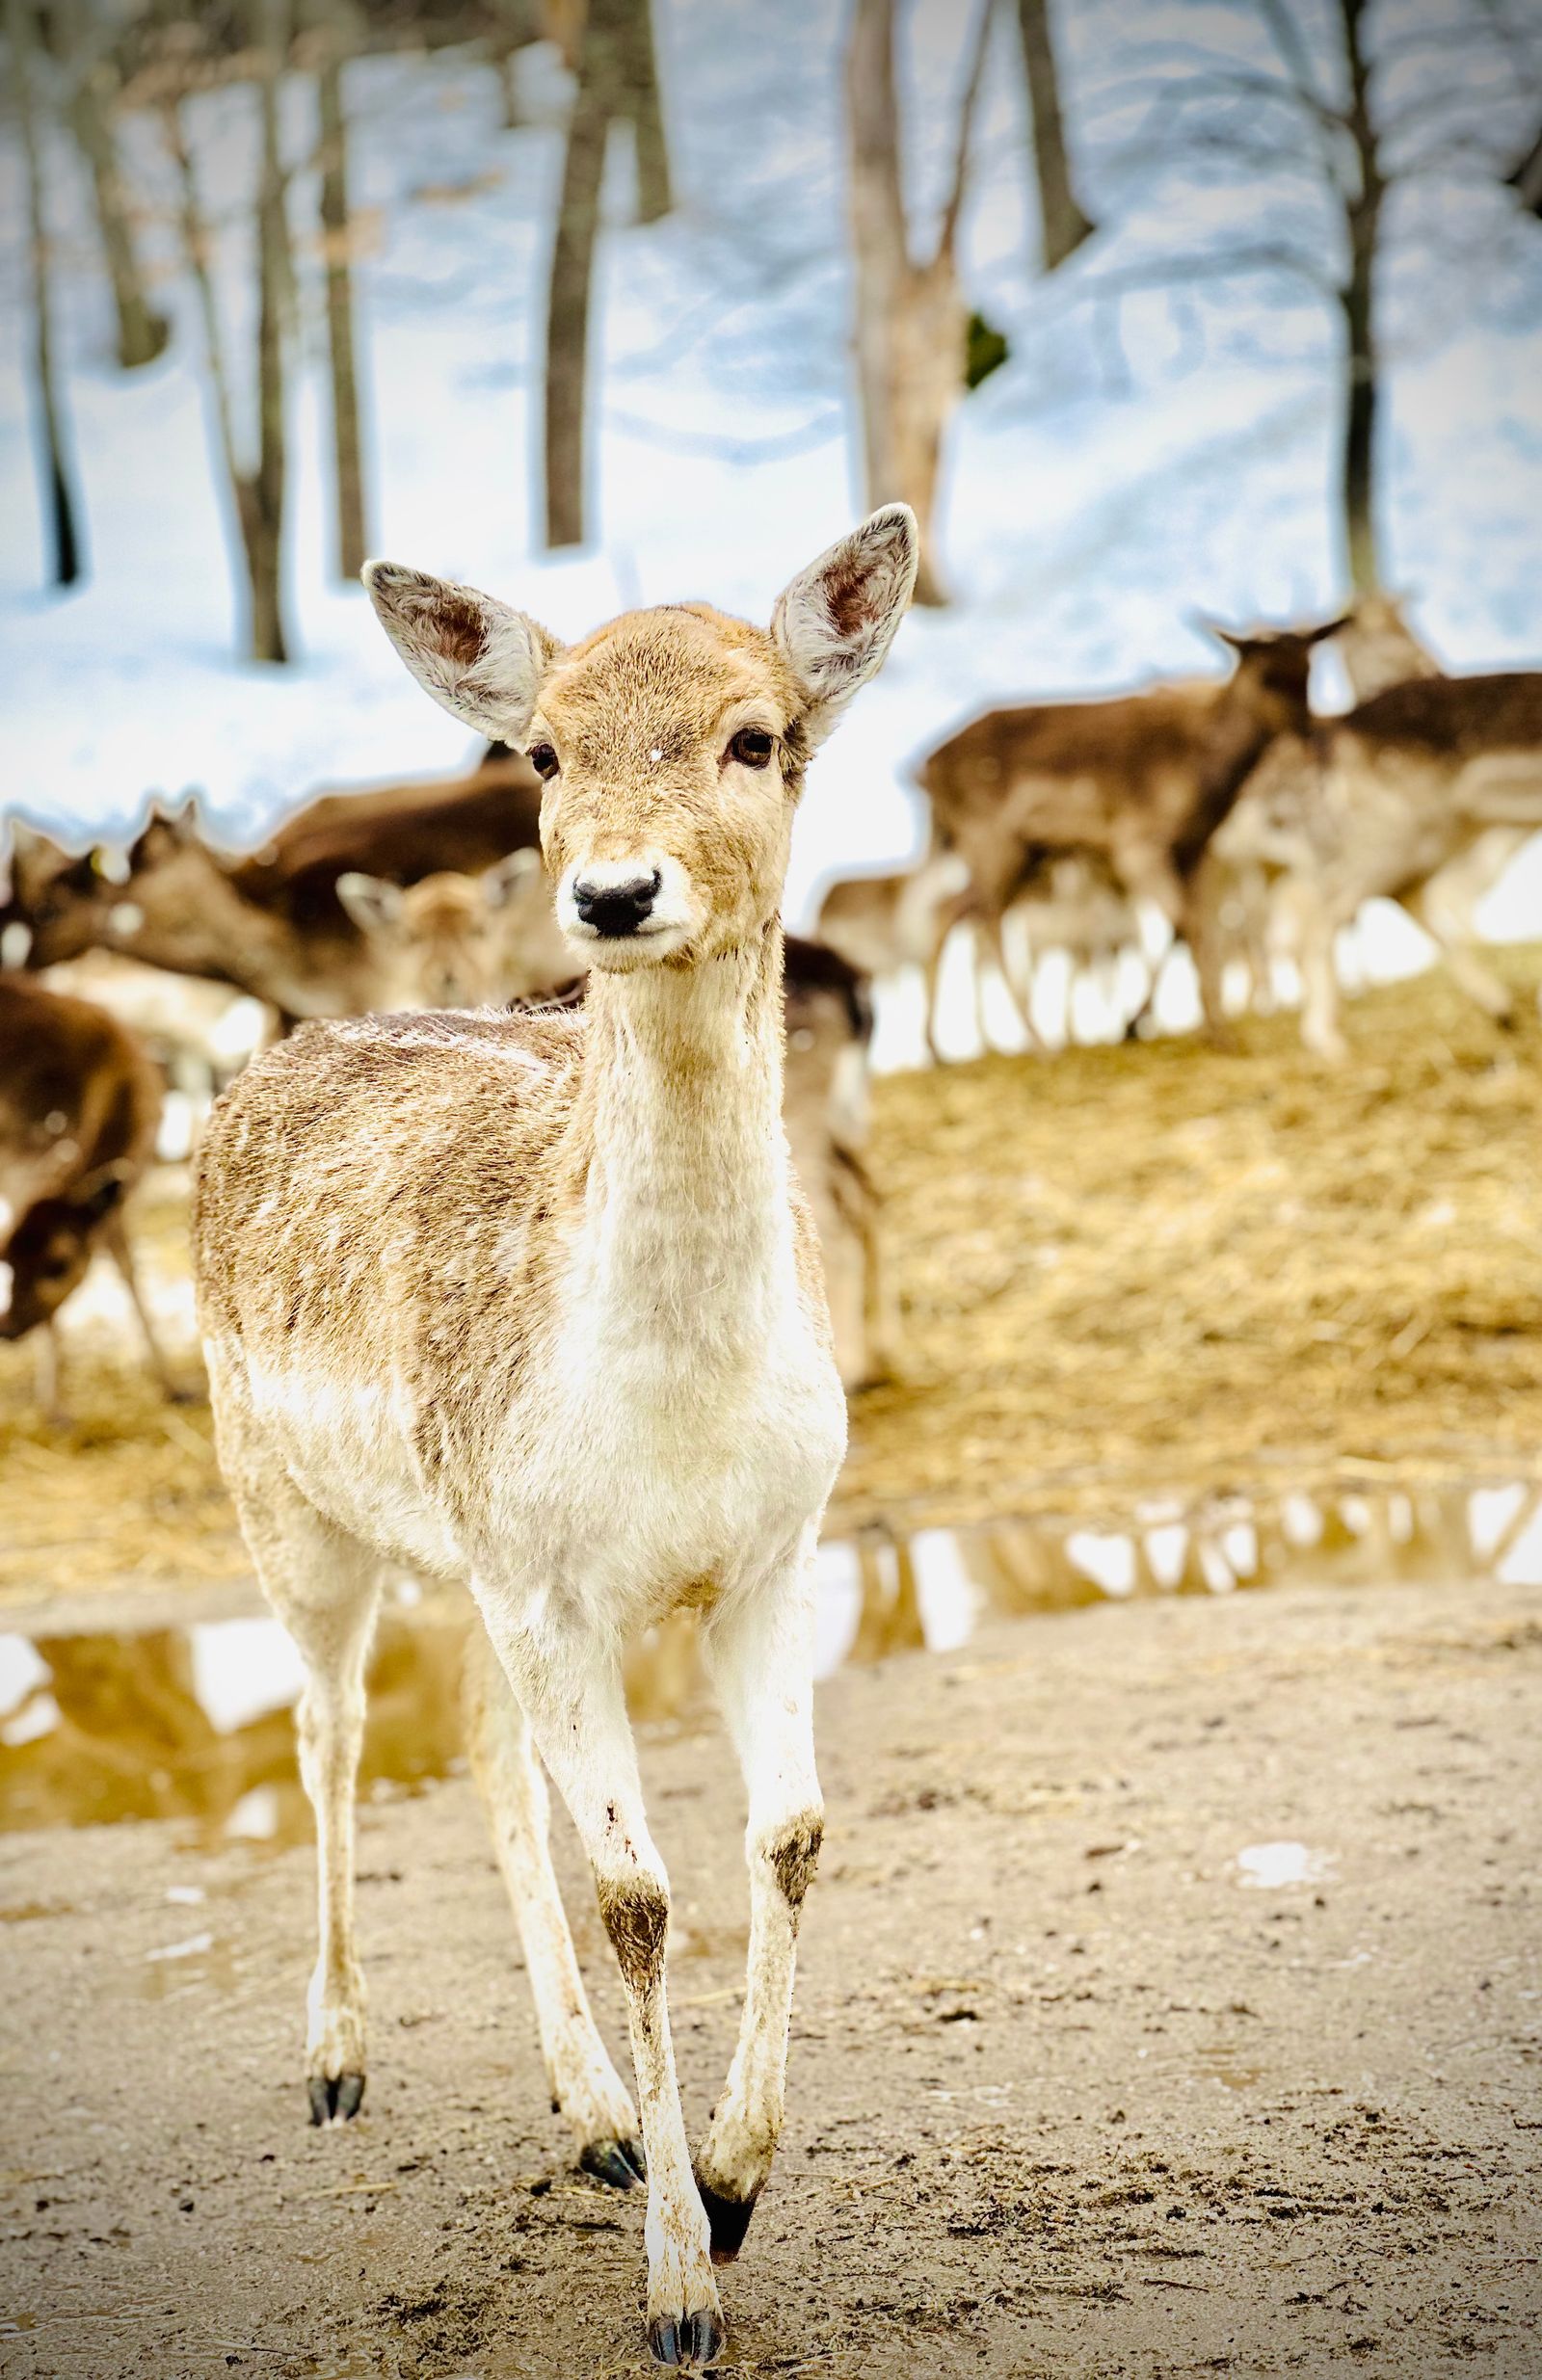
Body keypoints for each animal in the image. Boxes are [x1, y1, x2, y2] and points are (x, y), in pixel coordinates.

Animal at [0, 973, 178, 1415]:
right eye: (5, 1258)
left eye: (59, 1265)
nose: (8, 1329)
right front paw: (54, 1405)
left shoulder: (117, 1198)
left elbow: (128, 1267)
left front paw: (173, 1384)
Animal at [190, 508, 919, 2370]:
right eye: (543, 752)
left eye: (758, 737)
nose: (612, 894)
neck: (668, 1412)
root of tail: (257, 1063)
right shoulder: (549, 1578)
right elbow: (643, 1896)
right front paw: (679, 2289)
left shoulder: (770, 1551)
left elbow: (788, 1835)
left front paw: (727, 2183)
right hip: (286, 1500)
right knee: (329, 1731)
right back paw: (337, 2062)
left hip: (463, 1561)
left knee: (483, 1763)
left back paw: (585, 2112)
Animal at [918, 618, 1348, 1043]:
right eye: (1264, 676)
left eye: (1308, 670)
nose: (1310, 736)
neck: (1201, 773)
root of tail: (926, 771)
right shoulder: (1137, 843)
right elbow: (1188, 923)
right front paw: (1205, 1031)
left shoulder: (1196, 849)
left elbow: (1192, 927)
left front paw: (1201, 1024)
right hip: (990, 840)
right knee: (984, 917)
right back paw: (1036, 1041)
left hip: (1026, 852)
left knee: (952, 910)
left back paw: (939, 1046)